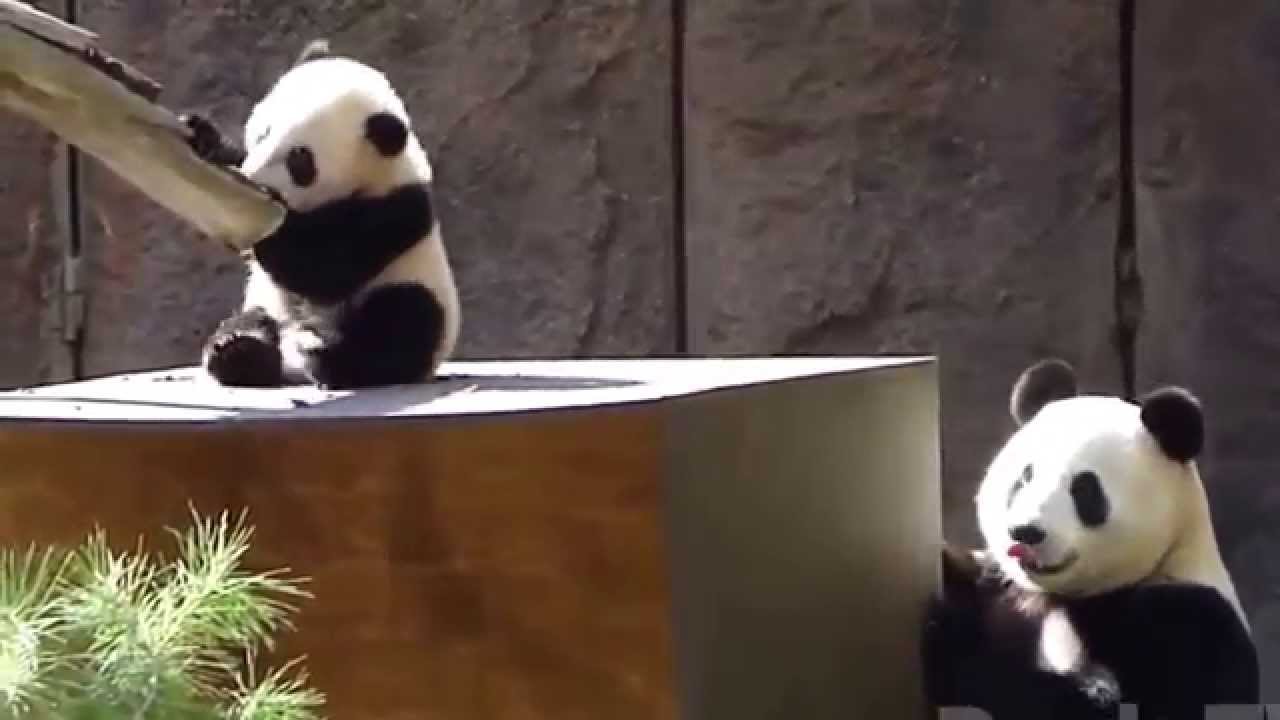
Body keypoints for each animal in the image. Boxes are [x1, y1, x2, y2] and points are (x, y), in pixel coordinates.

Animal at [183, 40, 460, 390]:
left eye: (300, 159)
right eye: (264, 131)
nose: (257, 180)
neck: (380, 170)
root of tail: (292, 369)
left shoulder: (398, 209)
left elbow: (326, 269)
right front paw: (203, 137)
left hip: (416, 291)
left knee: (403, 322)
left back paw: (325, 356)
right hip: (269, 303)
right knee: (250, 320)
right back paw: (240, 351)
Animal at [922, 358, 1261, 720]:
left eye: (1085, 489)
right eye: (1024, 478)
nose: (1026, 532)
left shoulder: (1189, 618)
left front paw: (951, 641)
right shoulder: (999, 587)